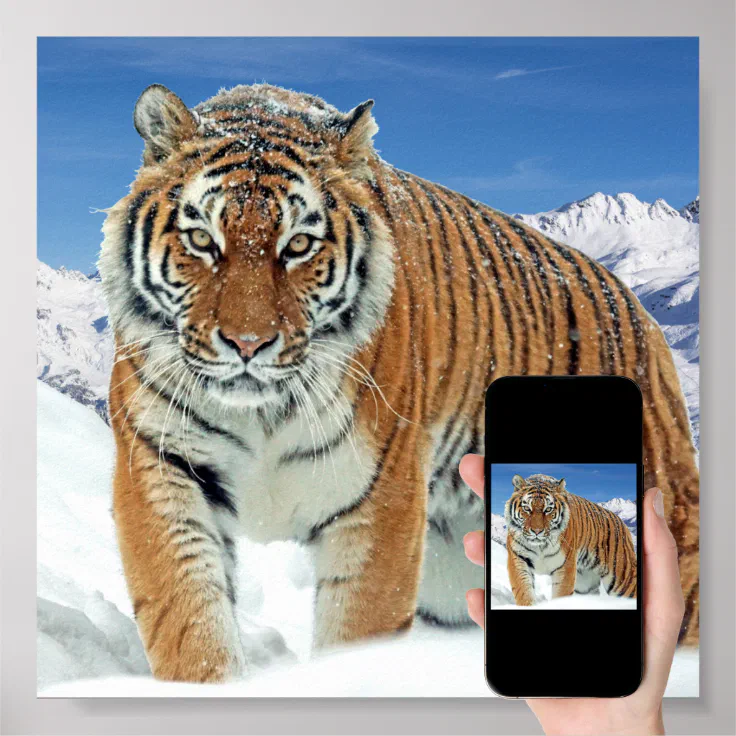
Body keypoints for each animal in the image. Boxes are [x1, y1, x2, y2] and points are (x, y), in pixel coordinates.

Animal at [504, 474, 637, 606]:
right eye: (527, 508)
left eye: (548, 510)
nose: (537, 531)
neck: (540, 546)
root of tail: (621, 523)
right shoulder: (518, 559)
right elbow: (524, 591)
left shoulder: (564, 567)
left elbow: (561, 595)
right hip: (585, 584)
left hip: (623, 580)